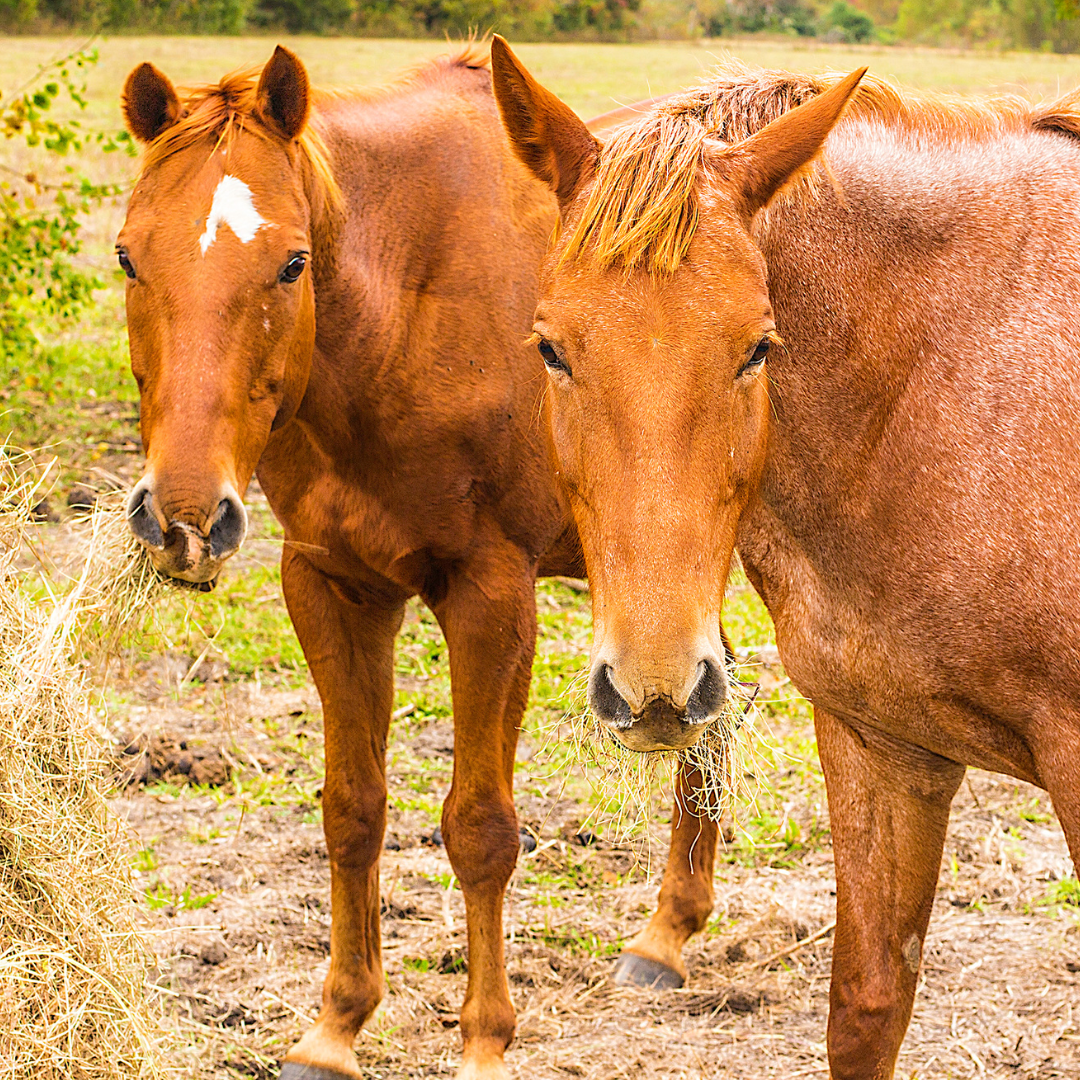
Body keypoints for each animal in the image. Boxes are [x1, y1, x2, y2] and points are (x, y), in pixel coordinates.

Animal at [117, 45, 663, 1080]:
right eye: (128, 256)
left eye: (292, 263)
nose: (185, 519)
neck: (404, 310)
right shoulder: (332, 585)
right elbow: (352, 810)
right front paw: (336, 1027)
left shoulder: (491, 598)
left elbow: (481, 828)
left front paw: (485, 1041)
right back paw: (669, 941)